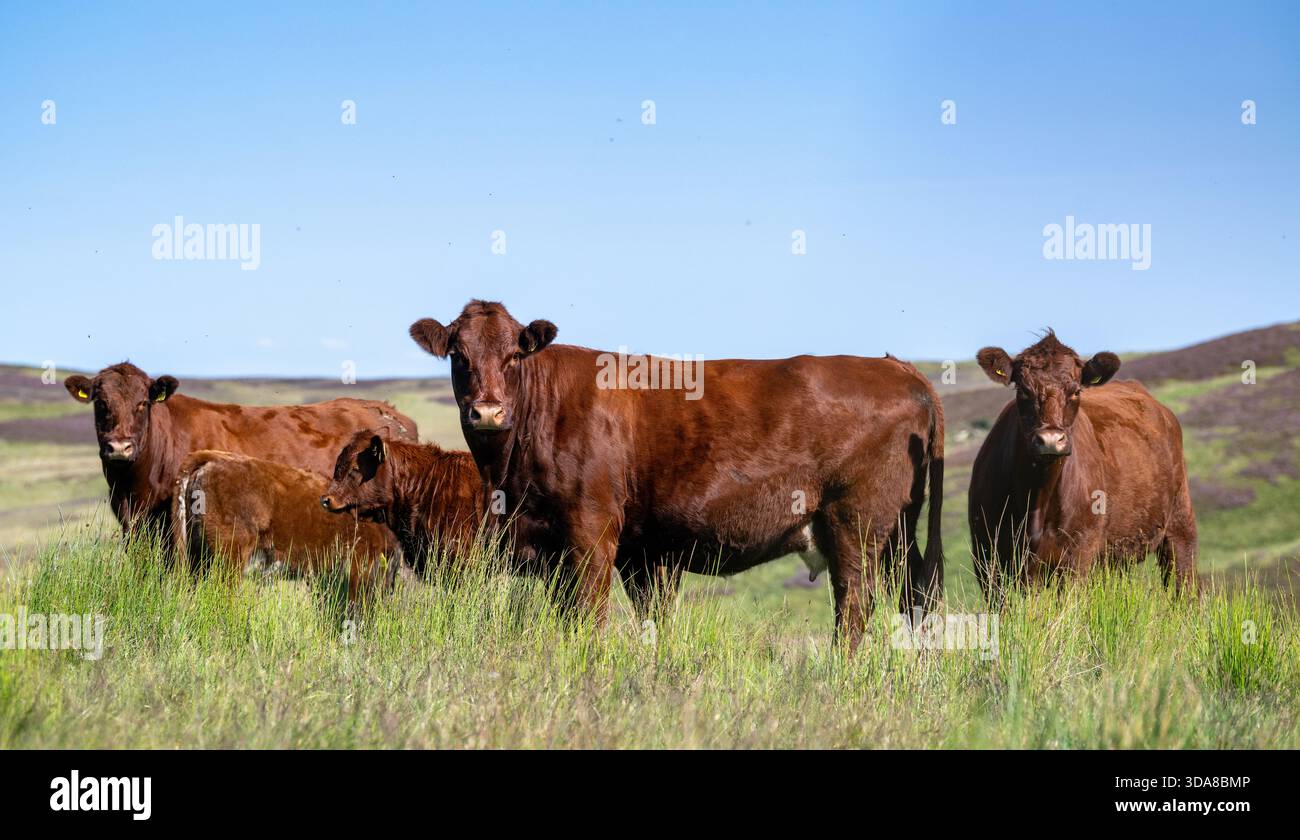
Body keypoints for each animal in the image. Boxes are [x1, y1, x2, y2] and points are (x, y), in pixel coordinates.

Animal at [408, 300, 945, 650]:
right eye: (458, 355)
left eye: (515, 355)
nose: (487, 412)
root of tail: (897, 367)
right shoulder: (626, 550)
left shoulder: (591, 529)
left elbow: (588, 615)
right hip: (898, 531)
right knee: (916, 594)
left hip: (856, 522)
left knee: (854, 604)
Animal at [967, 331, 1197, 601]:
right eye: (1023, 390)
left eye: (1076, 391)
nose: (1050, 440)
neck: (1036, 499)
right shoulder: (987, 556)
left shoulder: (1078, 553)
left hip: (1180, 524)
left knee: (1183, 585)